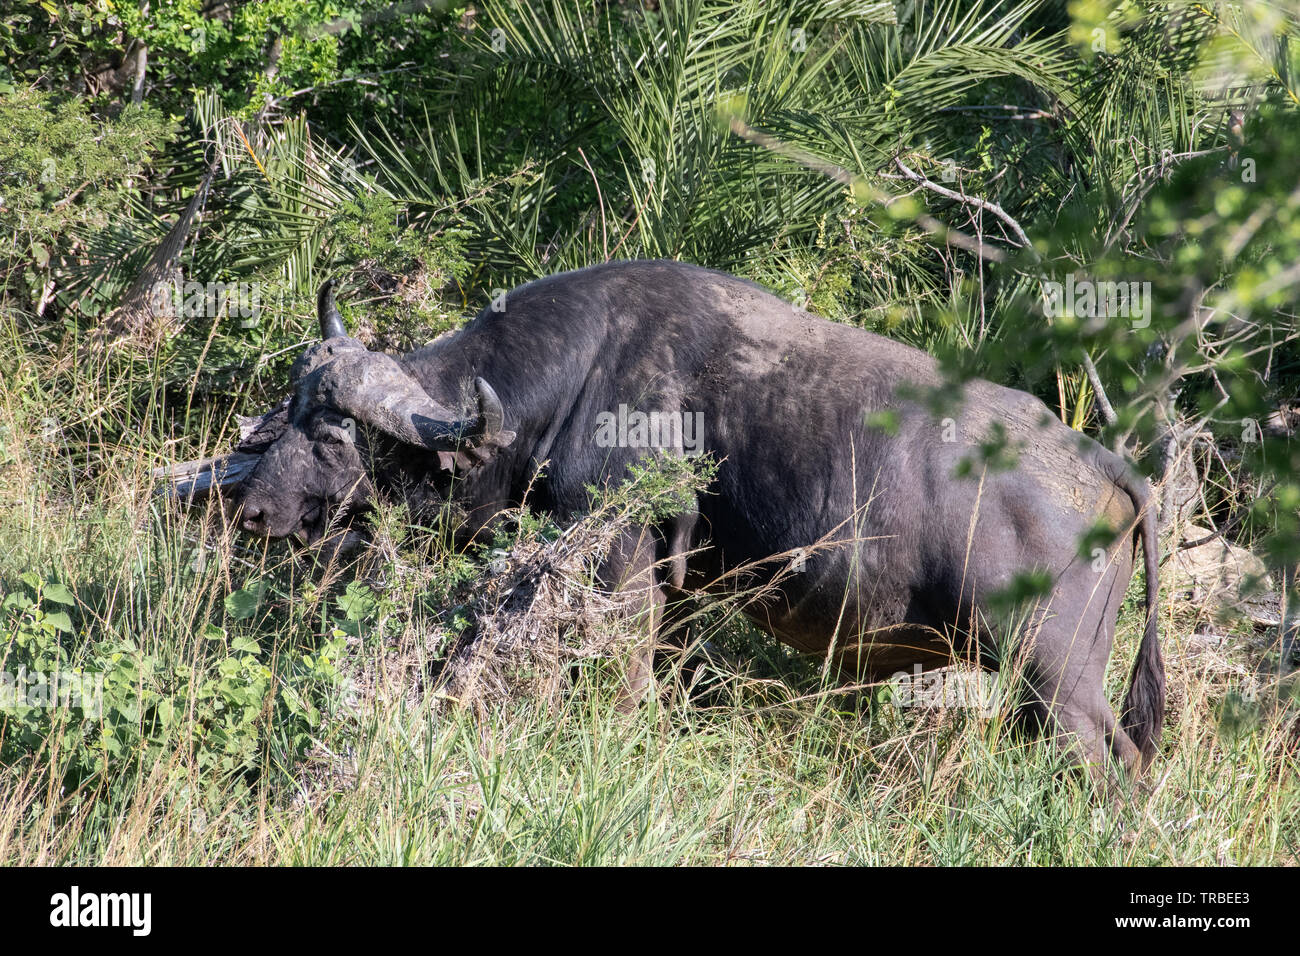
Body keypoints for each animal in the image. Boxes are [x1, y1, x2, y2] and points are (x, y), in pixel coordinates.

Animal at [235, 260, 1163, 780]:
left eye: (333, 434)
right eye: (290, 409)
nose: (251, 512)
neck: (580, 374)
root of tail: (1109, 468)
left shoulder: (621, 571)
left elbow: (622, 685)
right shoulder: (677, 593)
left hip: (1056, 681)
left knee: (1110, 764)